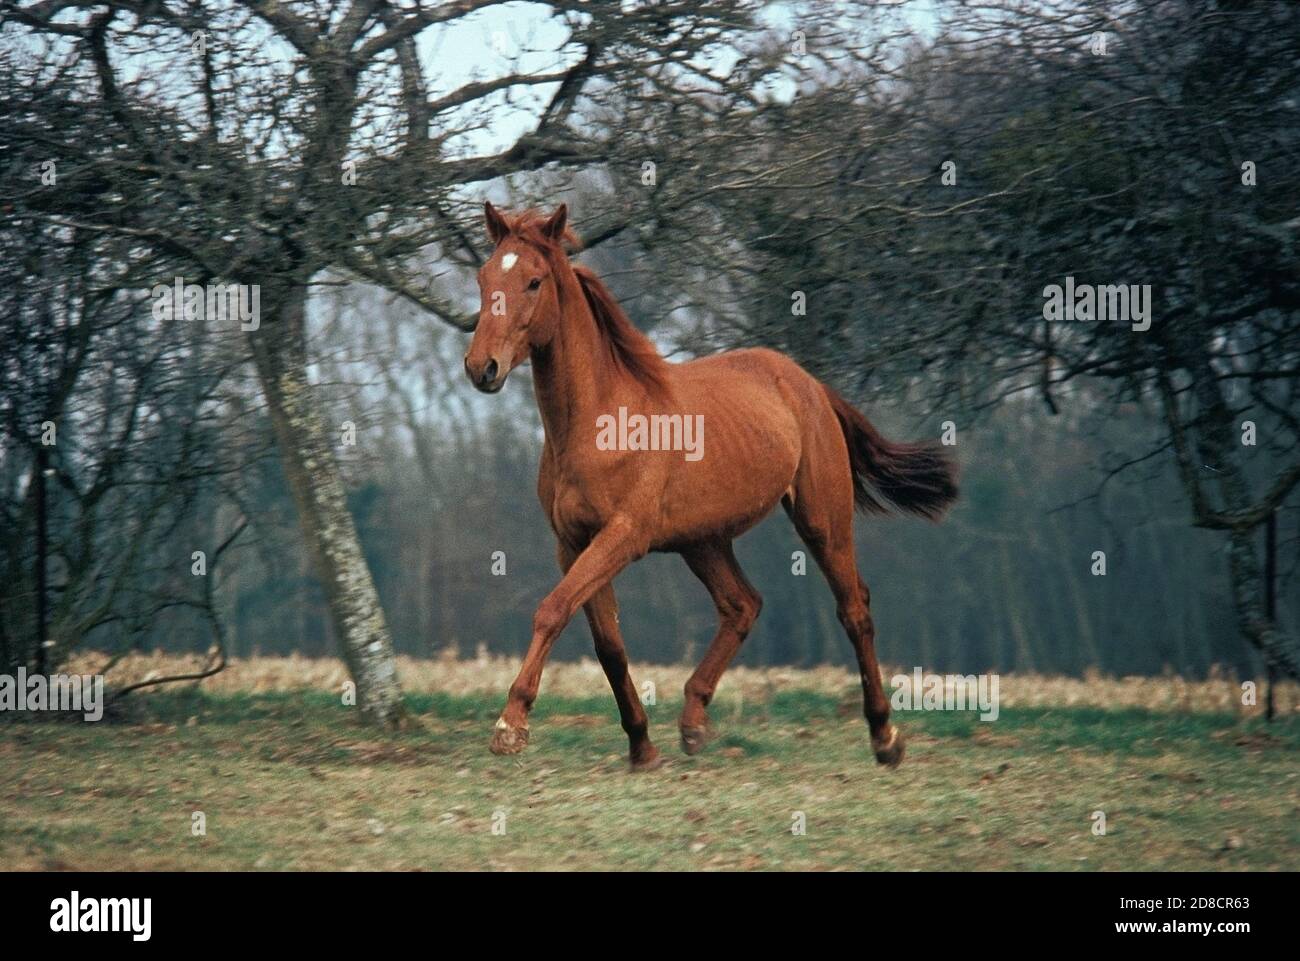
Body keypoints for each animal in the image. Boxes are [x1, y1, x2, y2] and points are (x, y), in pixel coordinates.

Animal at [463, 202, 958, 771]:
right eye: (483, 278)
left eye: (534, 281)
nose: (481, 368)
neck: (597, 422)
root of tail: (809, 384)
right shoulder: (572, 544)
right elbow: (606, 643)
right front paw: (642, 746)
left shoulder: (624, 536)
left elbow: (551, 611)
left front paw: (510, 726)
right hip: (702, 540)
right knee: (743, 605)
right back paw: (694, 721)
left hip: (821, 520)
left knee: (853, 608)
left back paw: (885, 738)